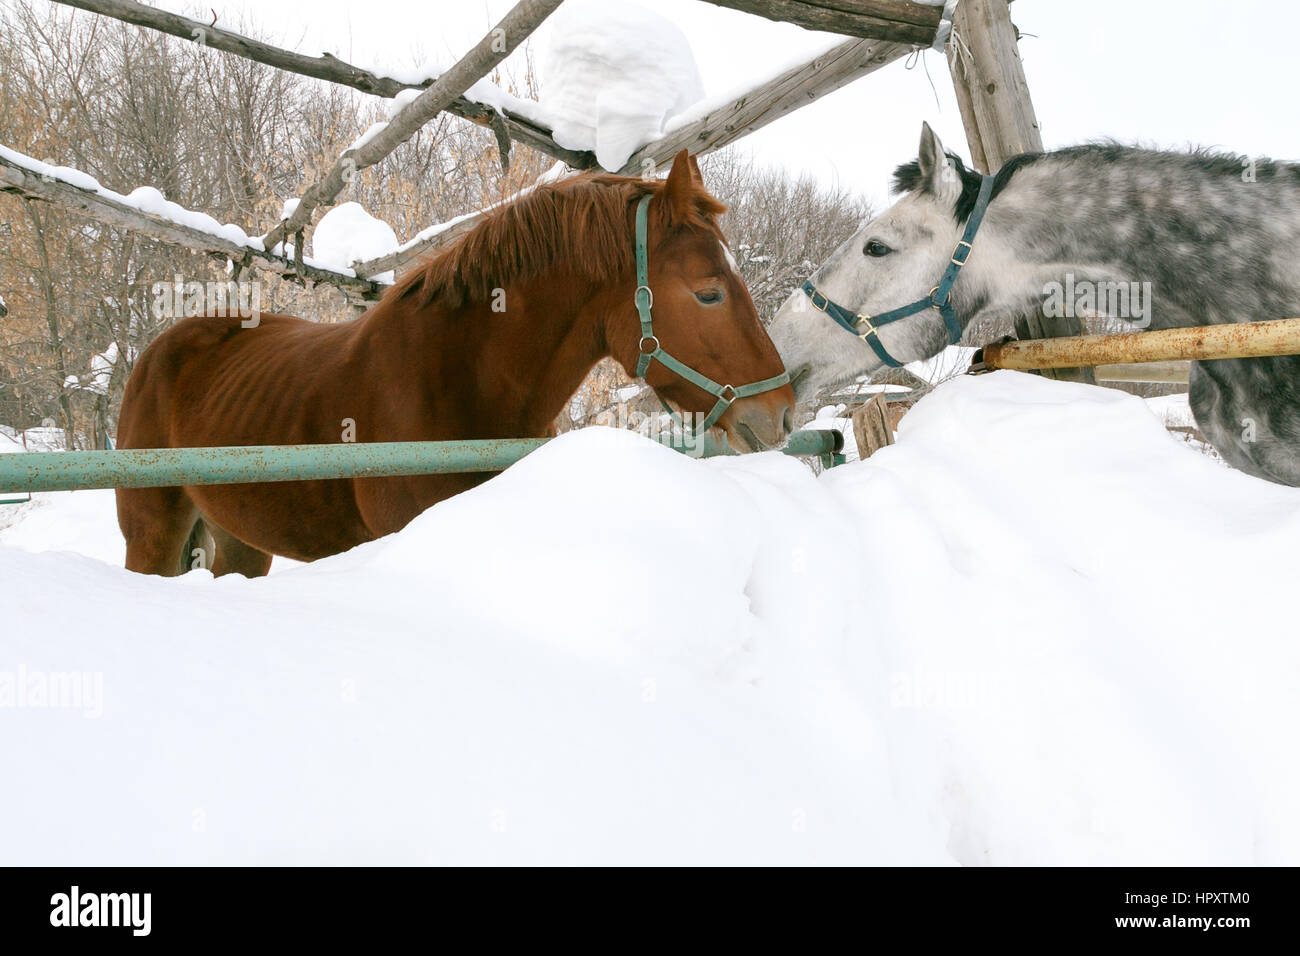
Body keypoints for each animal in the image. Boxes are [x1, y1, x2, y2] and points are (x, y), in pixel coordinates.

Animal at [116, 150, 794, 577]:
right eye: (709, 292)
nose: (784, 413)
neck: (461, 382)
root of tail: (160, 349)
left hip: (240, 539)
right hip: (151, 535)